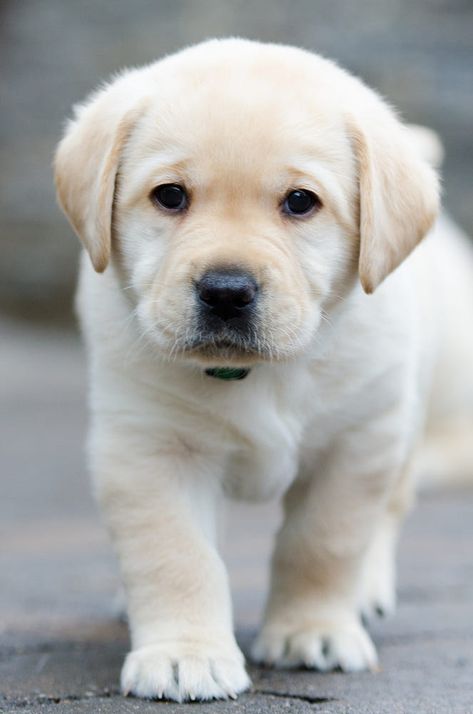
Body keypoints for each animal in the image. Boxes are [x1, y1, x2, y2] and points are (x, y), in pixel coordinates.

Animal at [53, 40, 472, 700]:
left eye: (300, 202)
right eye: (169, 195)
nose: (226, 291)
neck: (254, 374)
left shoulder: (359, 443)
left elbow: (324, 542)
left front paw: (313, 631)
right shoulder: (147, 445)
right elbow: (176, 553)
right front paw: (186, 654)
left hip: (409, 417)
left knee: (392, 506)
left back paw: (367, 592)